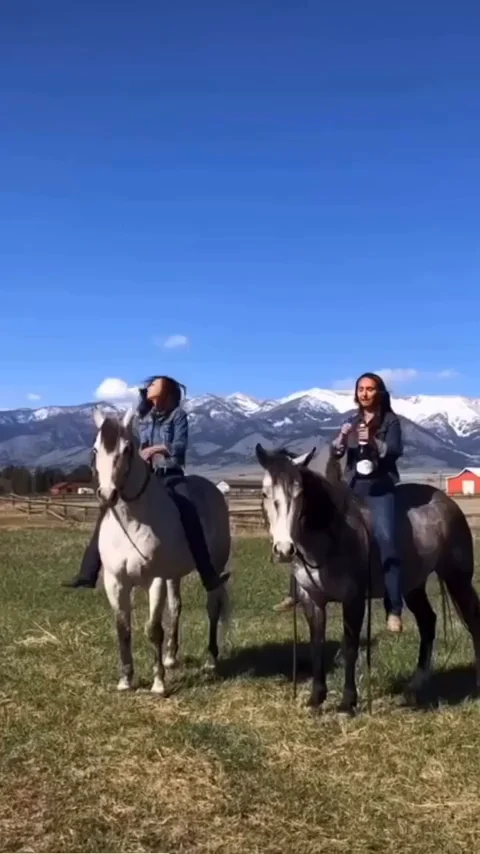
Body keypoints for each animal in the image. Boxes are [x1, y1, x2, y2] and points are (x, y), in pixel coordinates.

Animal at [255, 442, 480, 714]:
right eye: (265, 493)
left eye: (299, 494)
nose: (284, 549)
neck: (330, 535)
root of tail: (446, 501)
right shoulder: (312, 600)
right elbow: (317, 645)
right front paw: (316, 699)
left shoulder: (353, 599)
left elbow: (350, 646)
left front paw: (347, 703)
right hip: (413, 585)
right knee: (428, 621)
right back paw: (416, 684)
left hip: (458, 578)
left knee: (473, 619)